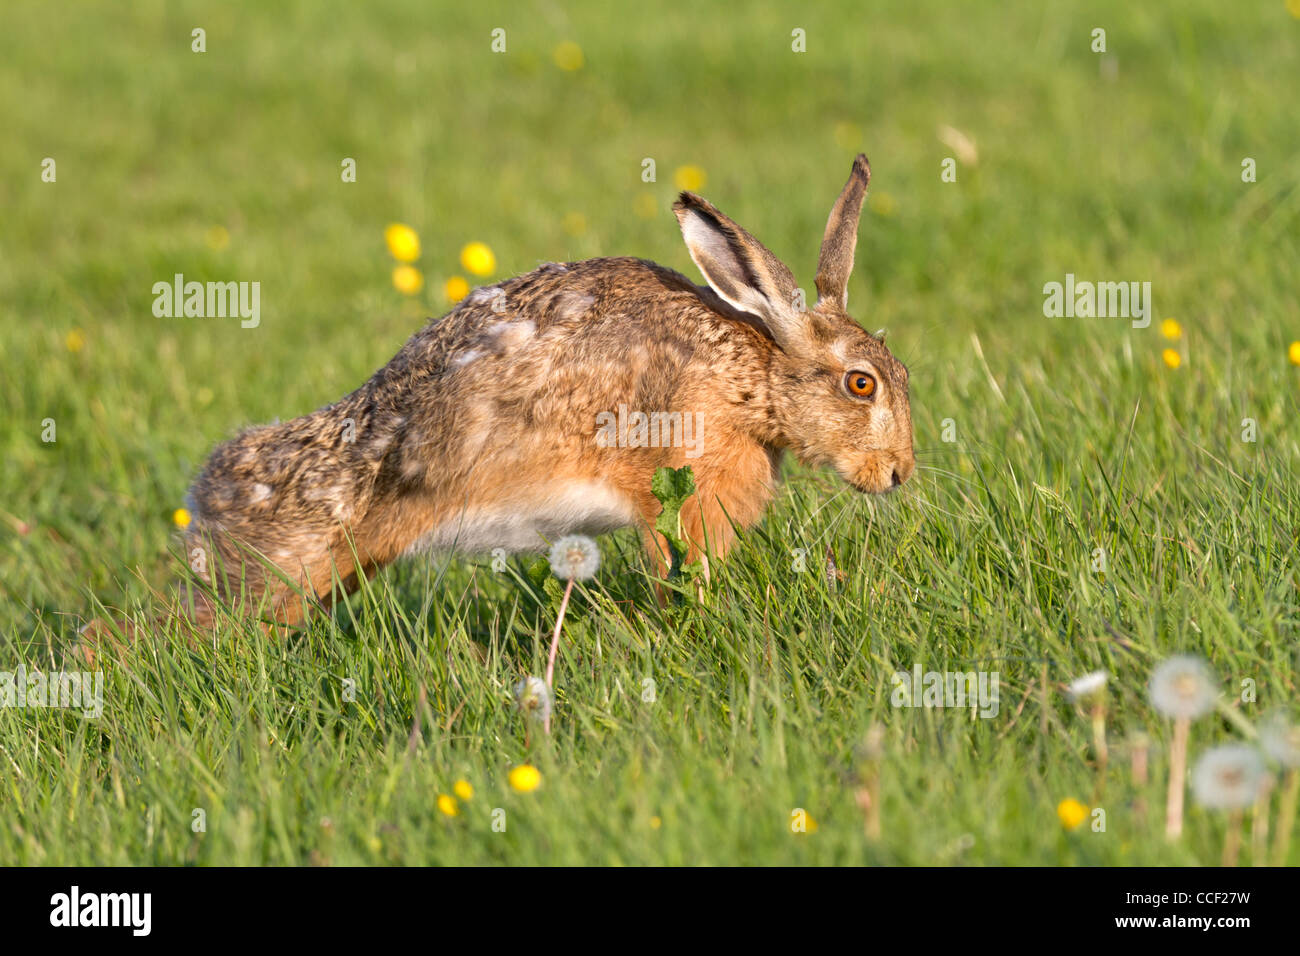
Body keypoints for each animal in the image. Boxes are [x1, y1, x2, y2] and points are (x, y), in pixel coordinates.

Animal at [83, 153, 914, 649]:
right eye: (861, 383)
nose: (899, 472)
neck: (754, 374)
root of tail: (207, 495)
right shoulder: (680, 488)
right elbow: (680, 565)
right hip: (283, 574)